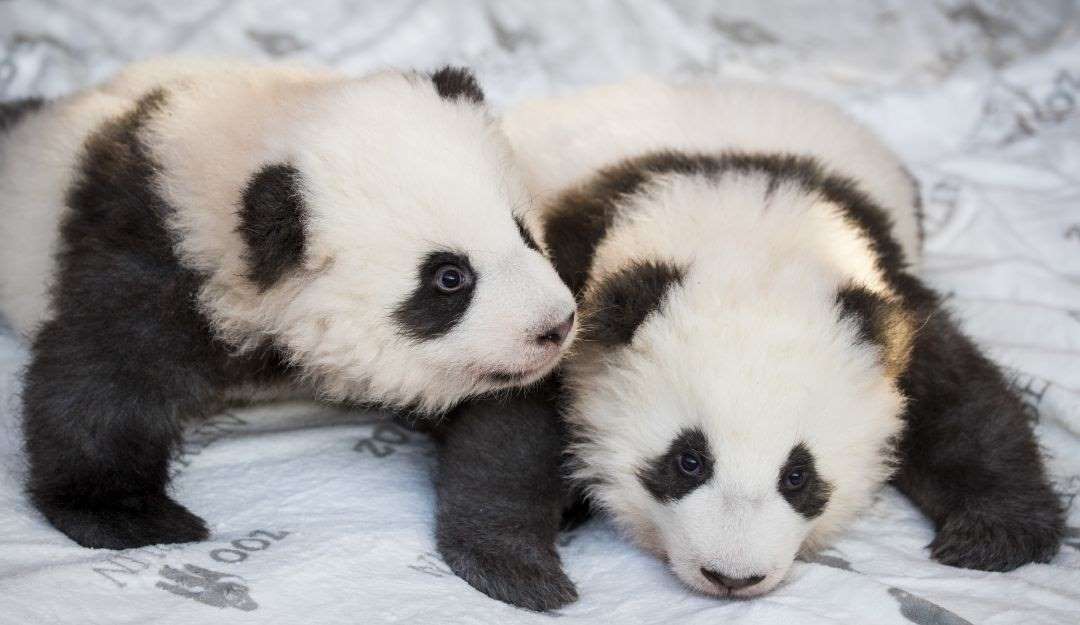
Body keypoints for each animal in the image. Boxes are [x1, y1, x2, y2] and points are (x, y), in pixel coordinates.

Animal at [0, 58, 577, 552]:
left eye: (524, 233)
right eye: (449, 278)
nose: (556, 326)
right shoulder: (148, 248)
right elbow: (98, 375)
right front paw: (127, 514)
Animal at [499, 78, 1064, 598]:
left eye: (798, 476)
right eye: (688, 462)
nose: (731, 577)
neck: (751, 228)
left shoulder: (888, 301)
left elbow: (962, 402)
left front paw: (994, 536)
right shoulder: (569, 274)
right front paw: (523, 562)